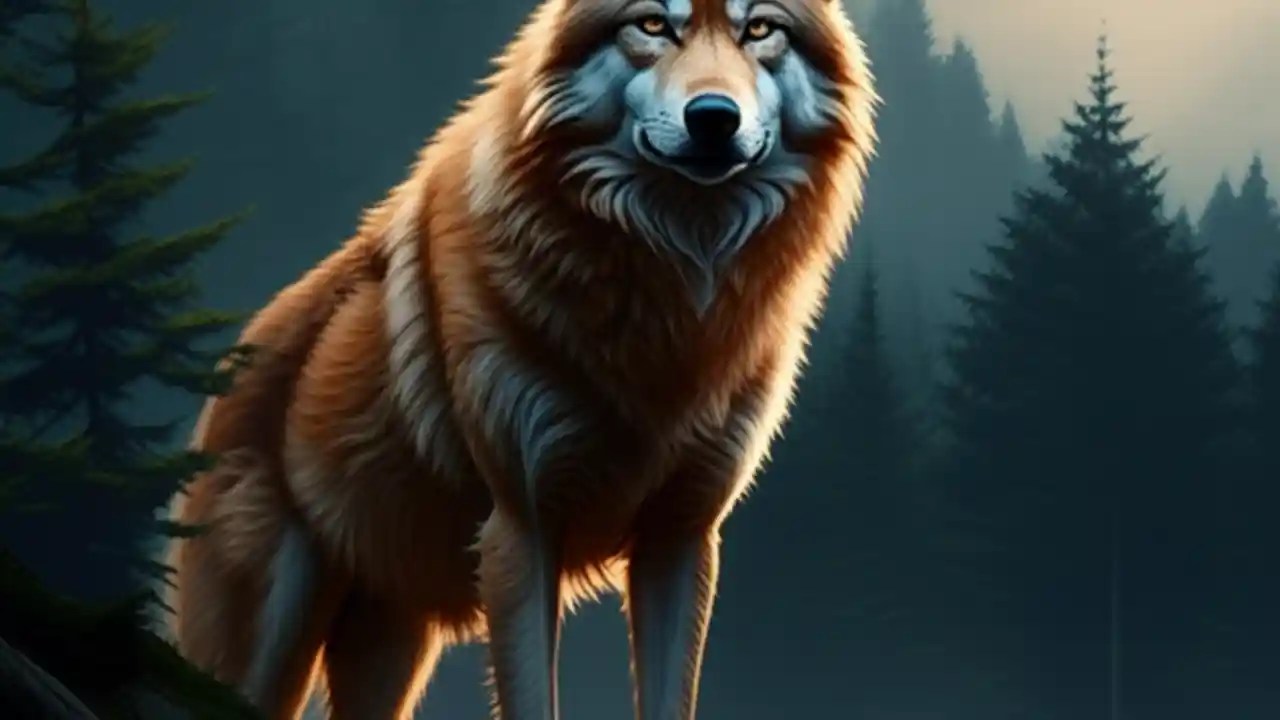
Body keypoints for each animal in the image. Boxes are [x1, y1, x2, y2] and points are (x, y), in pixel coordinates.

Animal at [163, 1, 876, 718]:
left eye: (758, 30)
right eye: (651, 25)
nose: (713, 116)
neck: (668, 291)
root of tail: (219, 383)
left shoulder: (681, 537)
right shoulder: (522, 532)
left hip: (390, 647)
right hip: (265, 644)